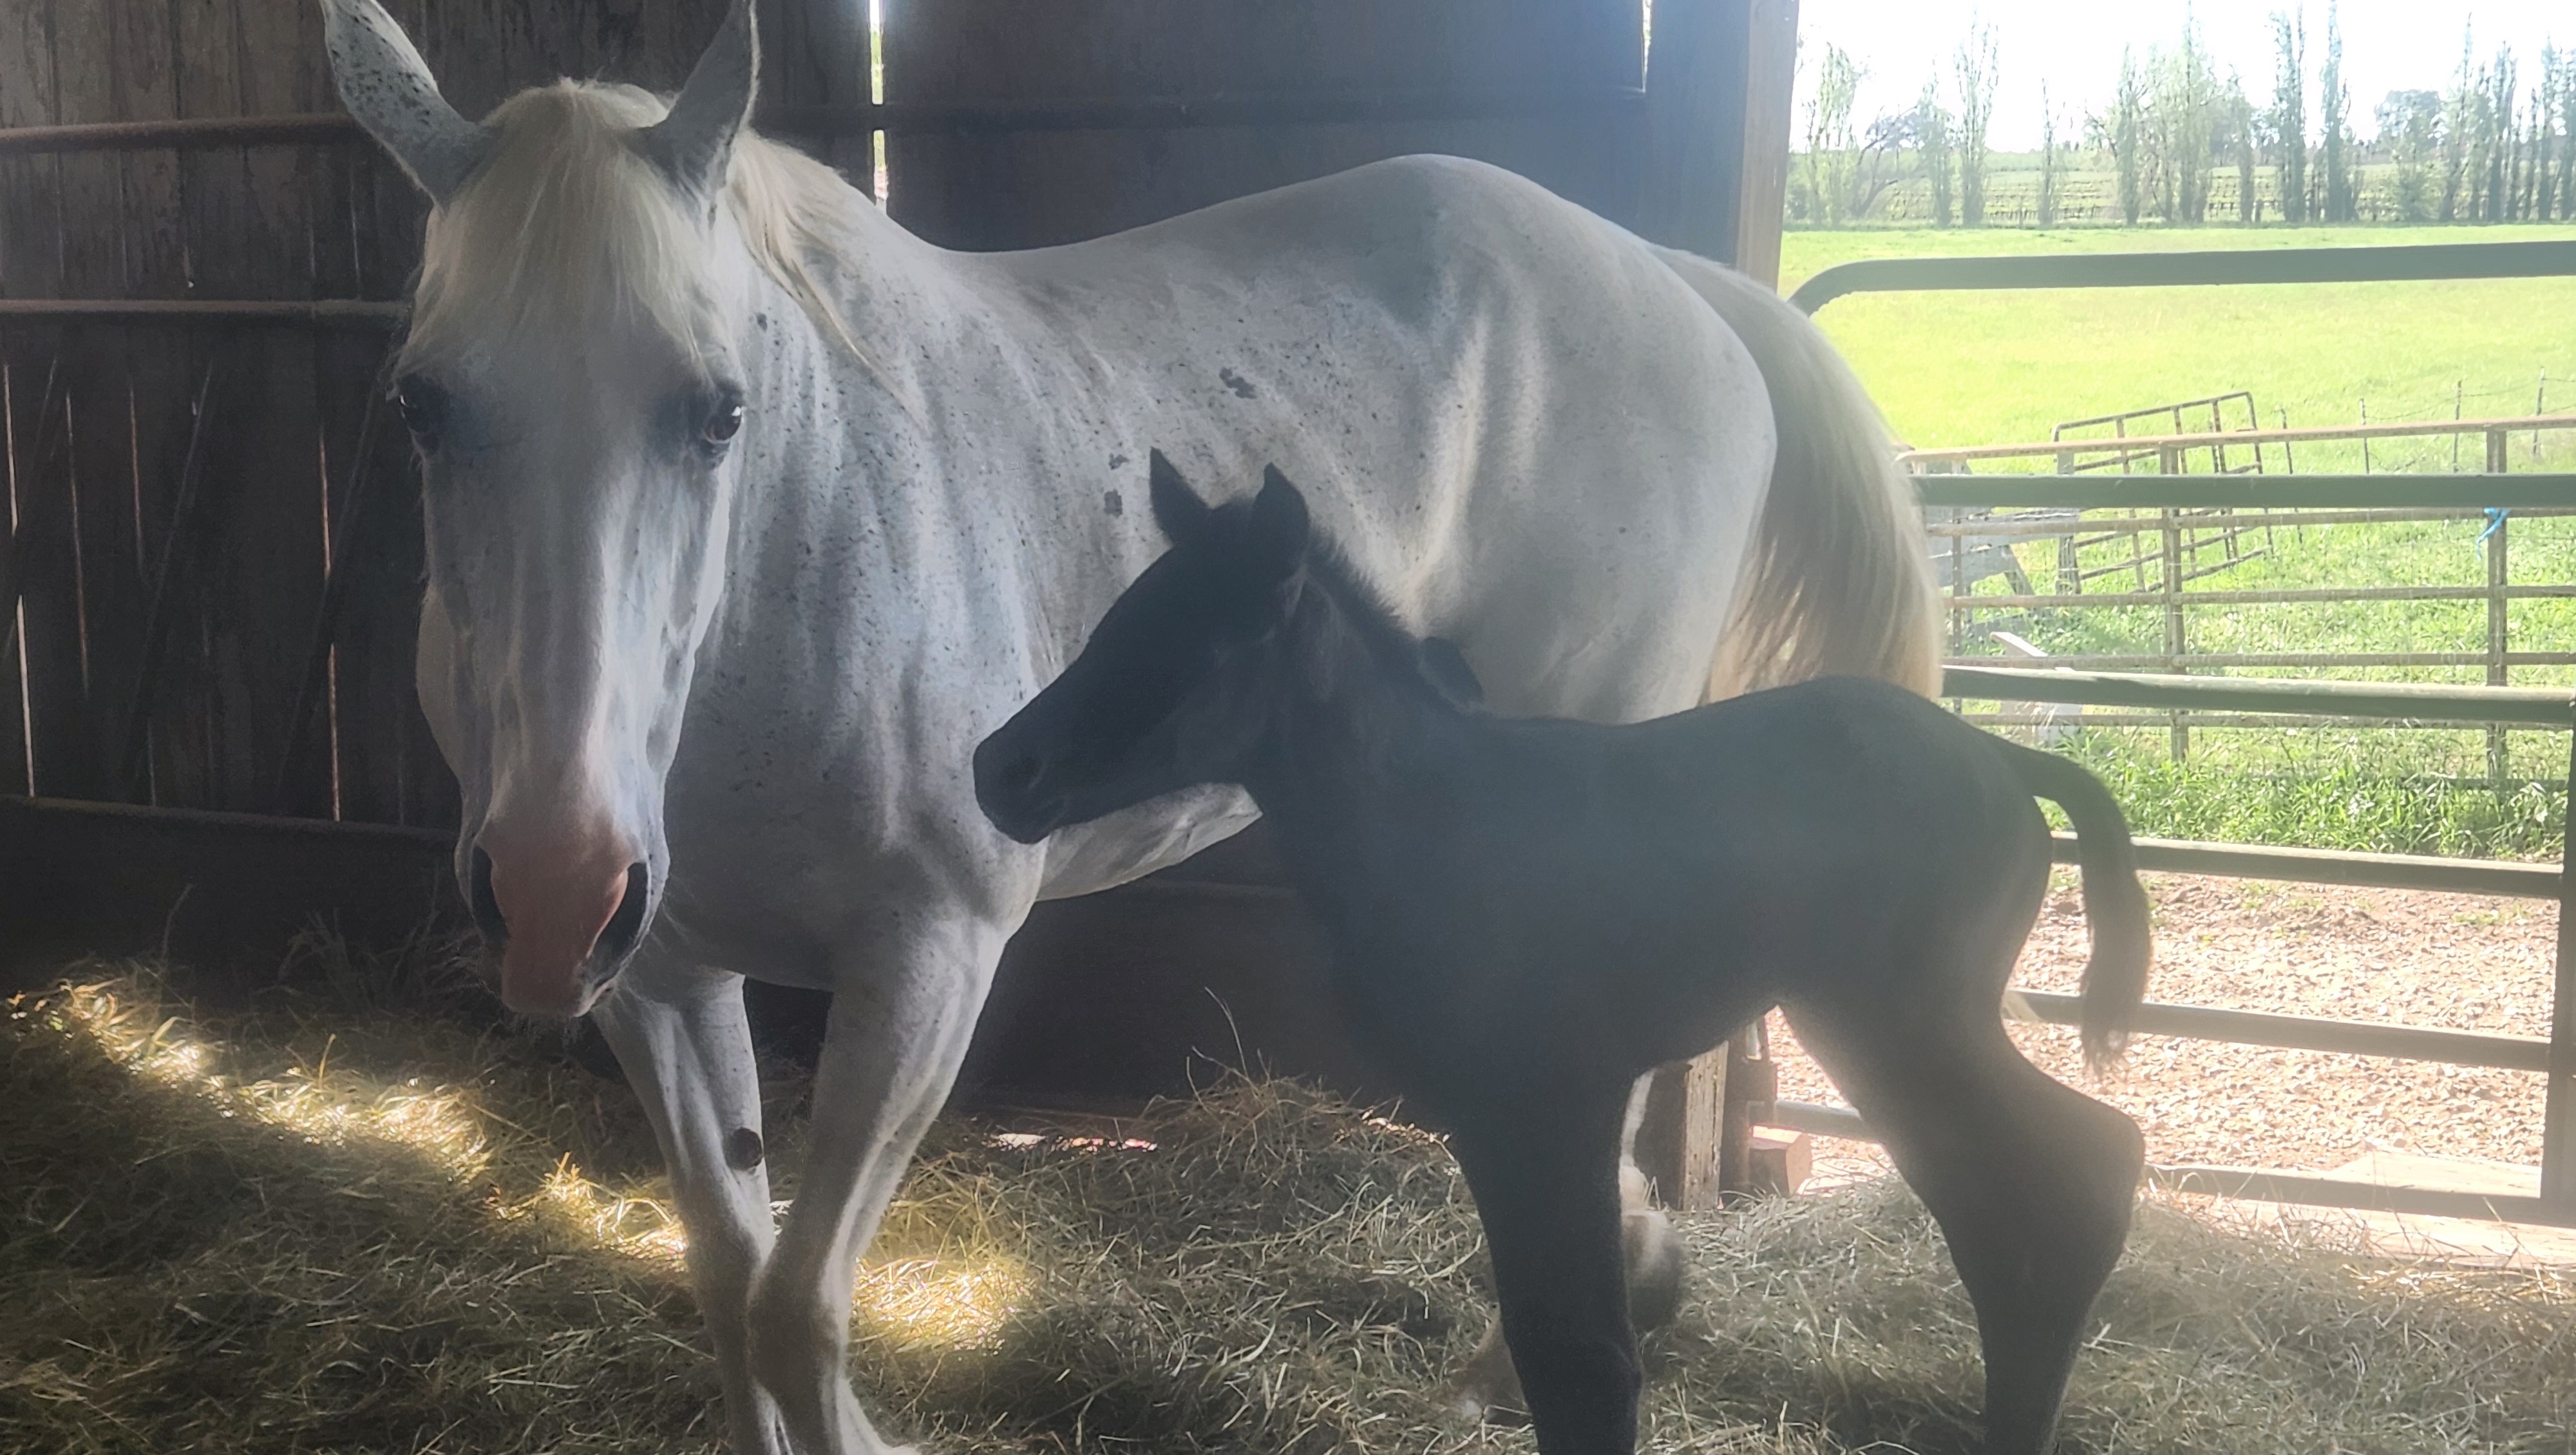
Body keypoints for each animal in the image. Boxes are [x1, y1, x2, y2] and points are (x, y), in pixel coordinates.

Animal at [320, 0, 1942, 1449]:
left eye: (716, 410)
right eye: (421, 405)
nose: (553, 883)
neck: (782, 576)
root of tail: (1676, 282)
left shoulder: (927, 961)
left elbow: (799, 1309)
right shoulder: (657, 978)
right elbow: (733, 1281)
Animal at [976, 455, 2154, 1455]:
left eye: (1204, 642)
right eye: (1116, 623)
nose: (1000, 768)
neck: (1437, 816)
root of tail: (2004, 755)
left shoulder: (1545, 1101)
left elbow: (1580, 1358)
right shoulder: (1515, 1113)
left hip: (1906, 1021)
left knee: (2069, 1177)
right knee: (2021, 1198)